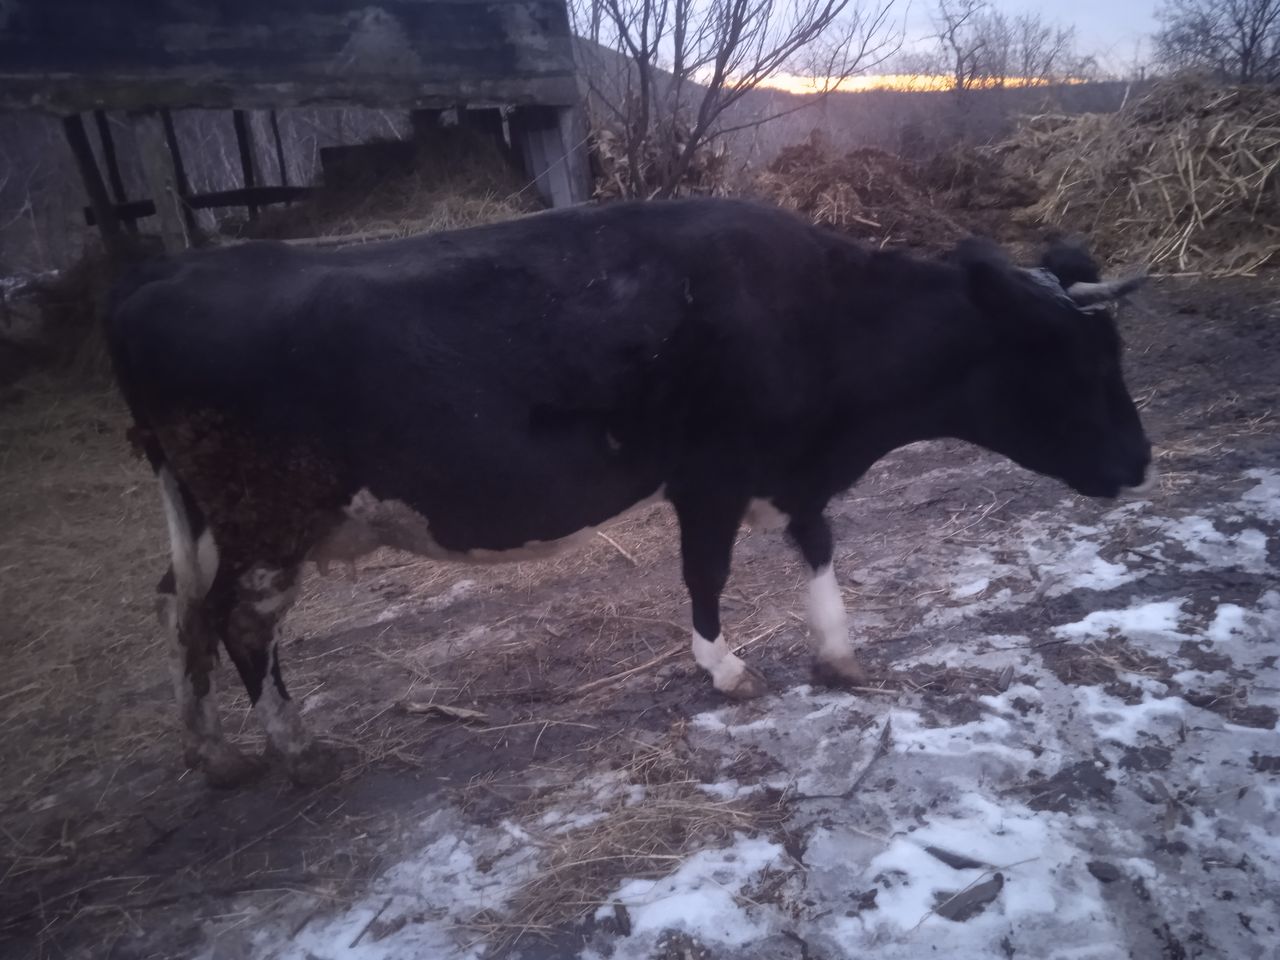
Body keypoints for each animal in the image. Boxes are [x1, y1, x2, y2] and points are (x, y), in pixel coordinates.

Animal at [106, 198, 1152, 787]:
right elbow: (708, 575)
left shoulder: (789, 466)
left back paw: (211, 752)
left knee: (178, 608)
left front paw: (840, 655)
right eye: (1075, 361)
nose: (1141, 461)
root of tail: (152, 281)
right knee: (240, 622)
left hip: (213, 521)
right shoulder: (710, 474)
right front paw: (727, 671)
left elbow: (817, 549)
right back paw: (293, 749)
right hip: (267, 518)